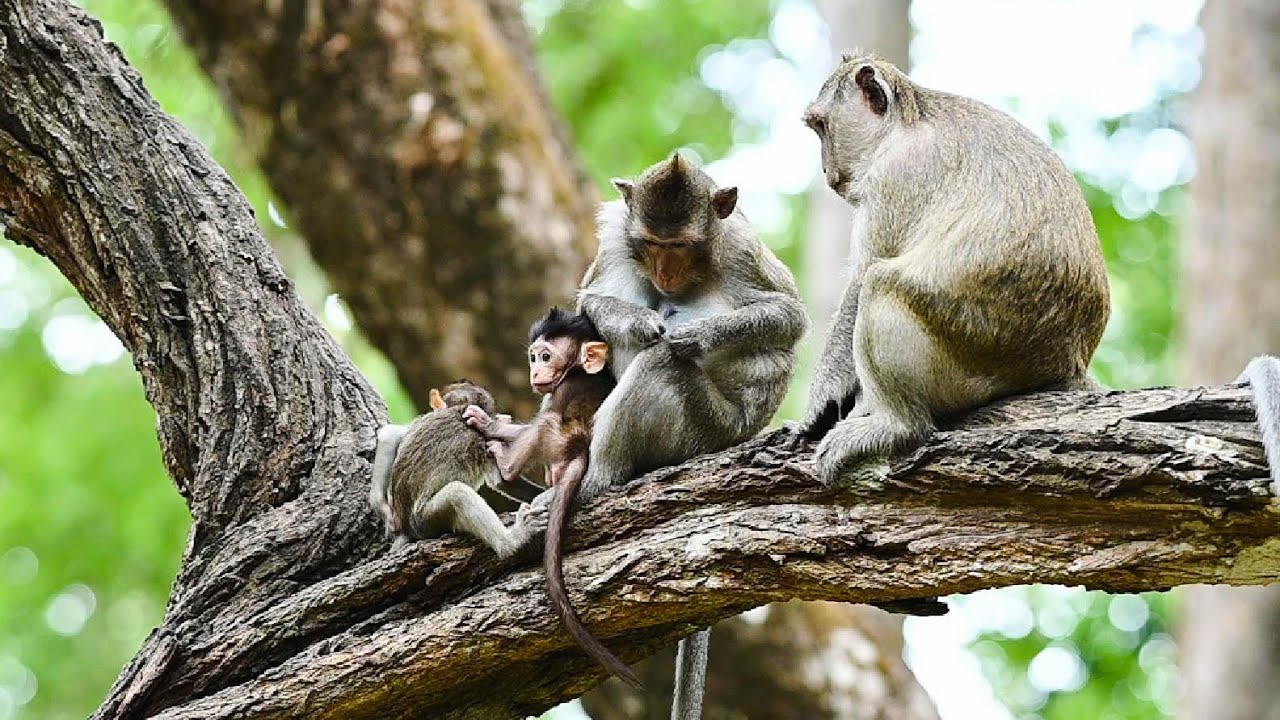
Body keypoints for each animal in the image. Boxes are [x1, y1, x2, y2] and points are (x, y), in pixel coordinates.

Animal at [368, 381, 533, 558]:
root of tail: (408, 529)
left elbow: (391, 434)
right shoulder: (488, 439)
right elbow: (503, 481)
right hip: (427, 520)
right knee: (457, 493)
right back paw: (510, 543)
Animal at [463, 307, 642, 688]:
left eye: (546, 357)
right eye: (533, 357)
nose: (535, 371)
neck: (575, 370)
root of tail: (581, 451)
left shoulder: (563, 389)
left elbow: (540, 416)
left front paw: (488, 424)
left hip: (561, 437)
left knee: (545, 422)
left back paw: (506, 465)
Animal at [508, 153, 806, 718]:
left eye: (682, 246)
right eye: (650, 243)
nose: (665, 273)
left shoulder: (740, 248)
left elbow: (788, 316)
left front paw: (695, 335)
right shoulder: (614, 242)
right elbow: (592, 300)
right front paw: (638, 320)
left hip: (702, 430)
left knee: (663, 364)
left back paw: (598, 477)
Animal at [795, 52, 1112, 484]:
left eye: (821, 126)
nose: (830, 175)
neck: (905, 123)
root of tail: (1064, 363)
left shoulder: (895, 177)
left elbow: (863, 278)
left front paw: (821, 399)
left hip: (970, 351)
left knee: (881, 286)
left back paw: (896, 425)